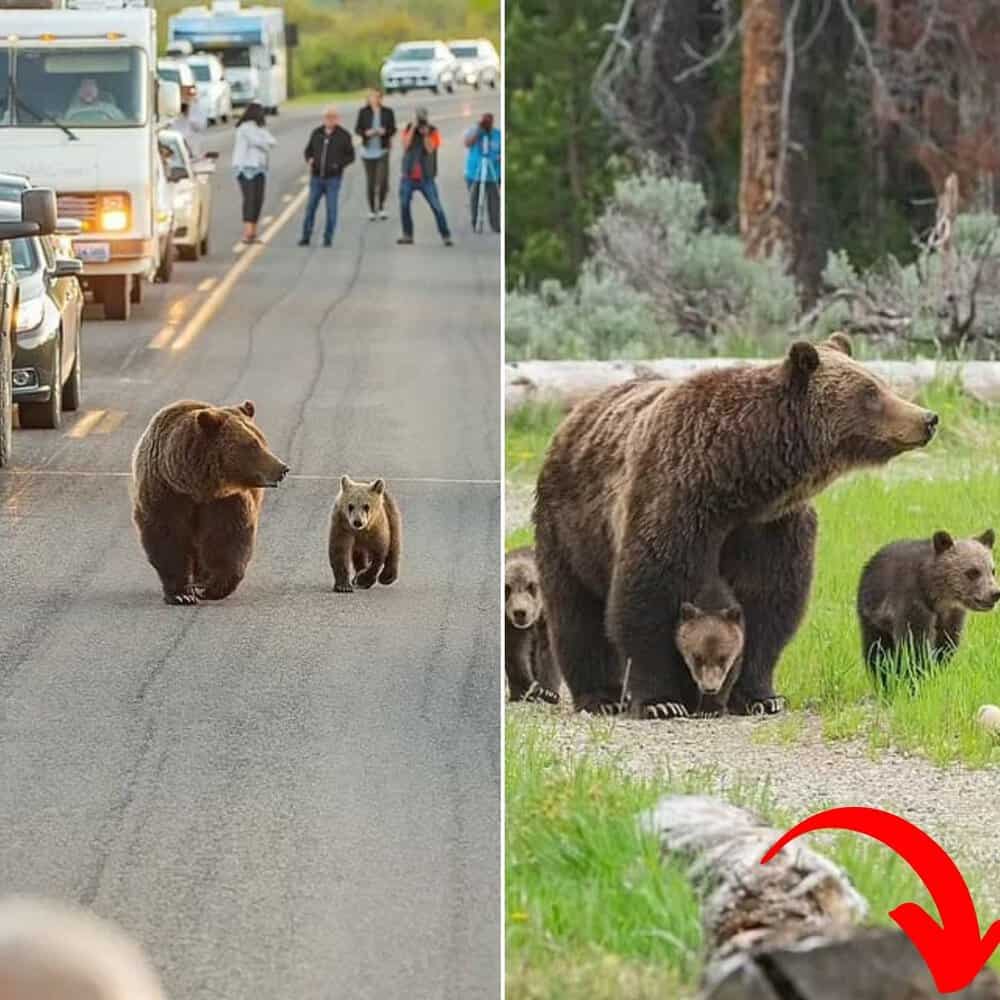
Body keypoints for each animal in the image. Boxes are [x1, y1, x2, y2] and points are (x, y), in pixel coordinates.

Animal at [131, 399, 289, 605]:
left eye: (263, 441)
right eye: (252, 445)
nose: (282, 468)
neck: (197, 486)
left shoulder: (225, 500)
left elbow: (227, 538)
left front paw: (213, 588)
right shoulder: (167, 494)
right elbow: (167, 537)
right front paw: (181, 594)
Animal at [505, 546, 562, 703]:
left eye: (532, 586)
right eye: (507, 588)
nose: (520, 612)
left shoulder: (546, 619)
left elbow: (548, 654)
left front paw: (549, 693)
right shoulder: (511, 627)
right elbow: (516, 655)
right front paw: (528, 690)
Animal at [676, 577, 745, 717]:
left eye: (723, 658)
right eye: (697, 657)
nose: (710, 688)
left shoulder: (737, 655)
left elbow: (729, 678)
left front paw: (711, 709)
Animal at [857, 528, 1000, 687]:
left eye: (992, 570)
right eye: (972, 572)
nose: (994, 593)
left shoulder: (951, 615)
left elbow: (946, 645)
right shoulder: (912, 603)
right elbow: (915, 646)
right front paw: (915, 677)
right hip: (872, 615)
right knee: (877, 649)